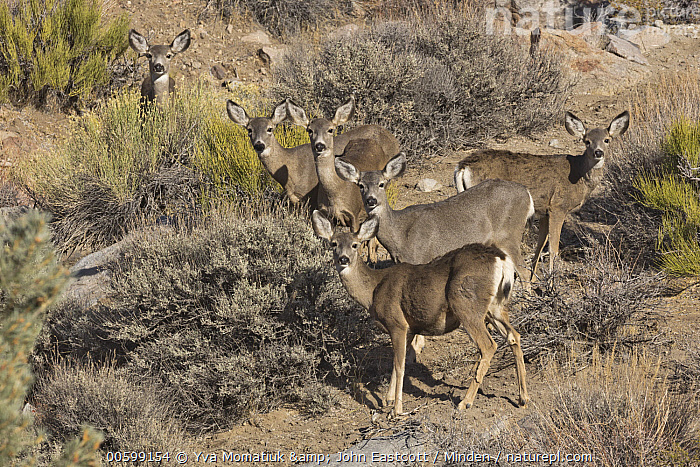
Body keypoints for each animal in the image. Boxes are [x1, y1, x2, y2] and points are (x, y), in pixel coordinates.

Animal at [312, 211, 529, 416]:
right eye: (333, 243)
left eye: (355, 245)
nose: (343, 259)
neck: (373, 291)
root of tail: (501, 259)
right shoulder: (409, 328)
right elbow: (395, 364)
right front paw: (387, 400)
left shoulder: (396, 322)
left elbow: (400, 366)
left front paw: (396, 410)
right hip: (495, 306)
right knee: (514, 335)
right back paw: (523, 398)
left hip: (466, 303)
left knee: (488, 345)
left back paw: (465, 402)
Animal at [335, 153, 535, 287]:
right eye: (361, 185)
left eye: (382, 184)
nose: (371, 200)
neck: (399, 234)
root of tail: (527, 194)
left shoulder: (421, 258)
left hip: (509, 234)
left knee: (525, 272)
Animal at [453, 111, 630, 279]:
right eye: (587, 141)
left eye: (607, 140)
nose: (598, 152)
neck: (579, 174)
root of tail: (463, 167)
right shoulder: (558, 206)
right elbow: (553, 249)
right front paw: (551, 282)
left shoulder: (544, 212)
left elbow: (540, 246)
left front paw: (534, 278)